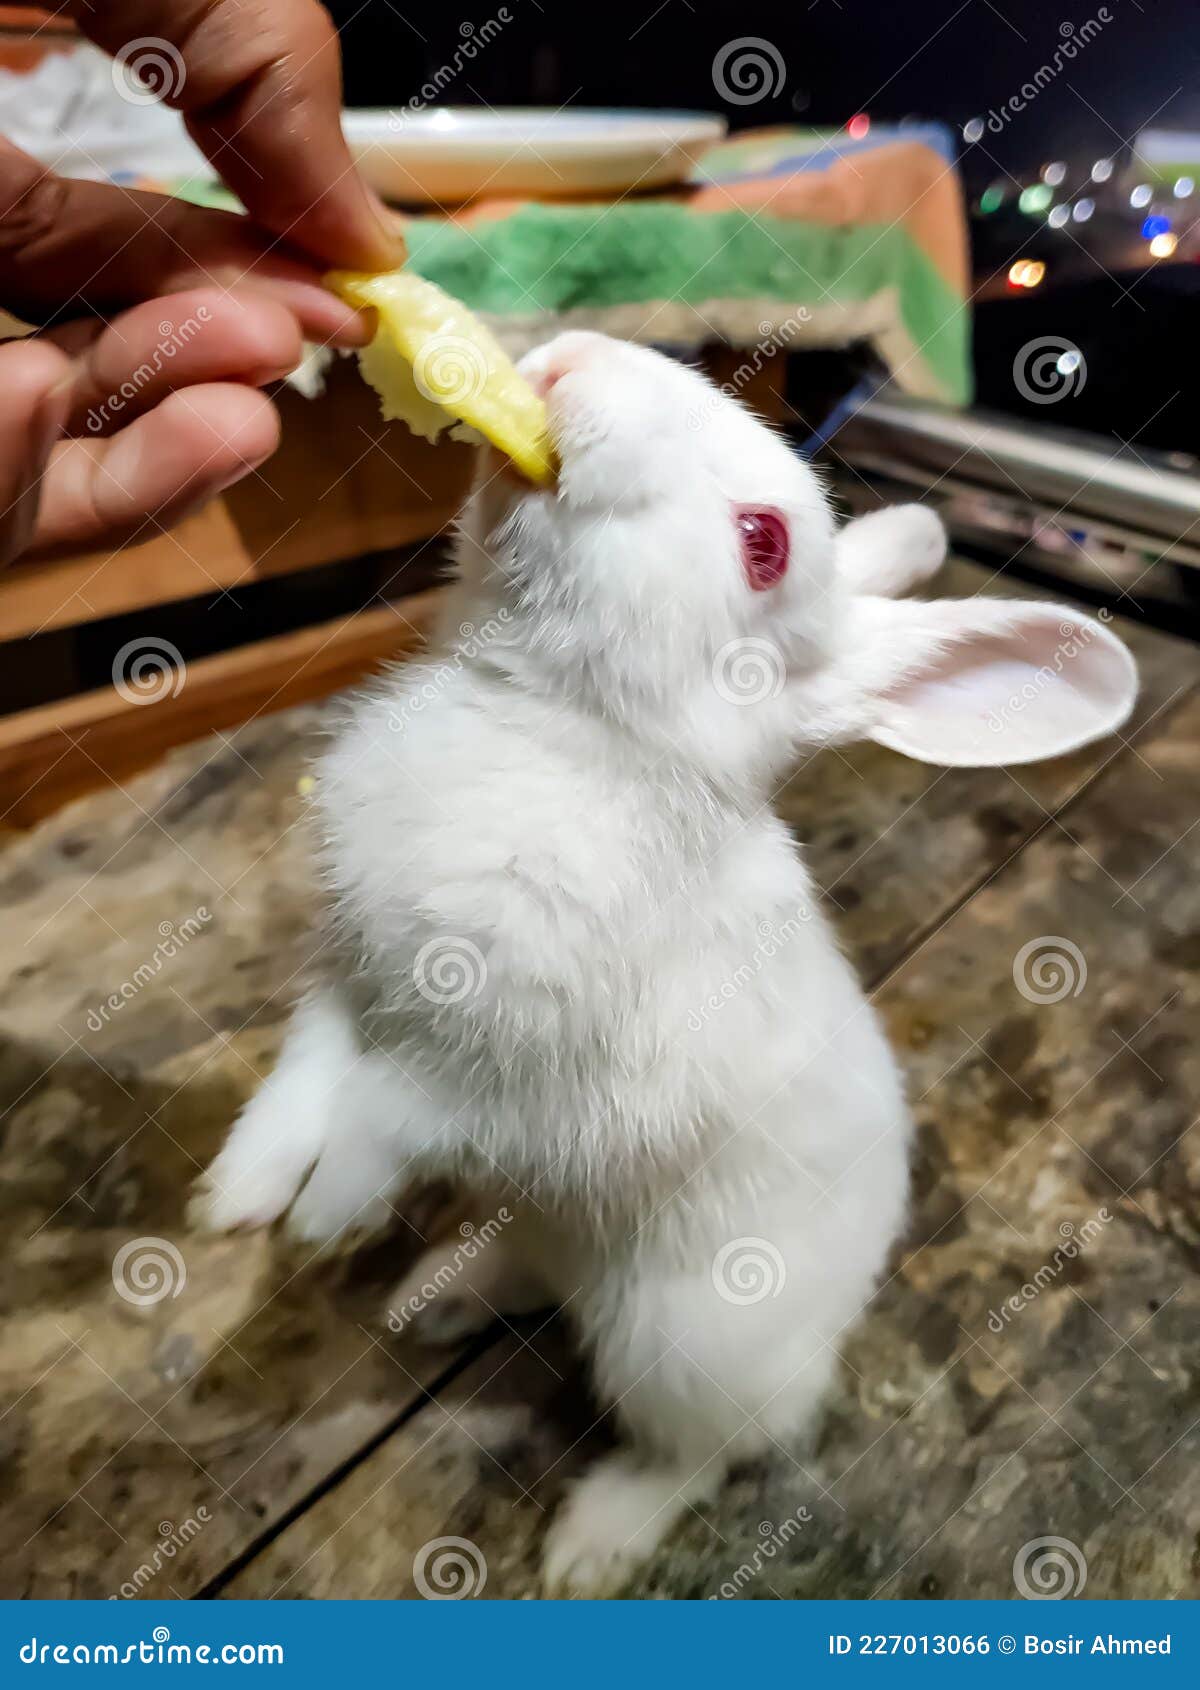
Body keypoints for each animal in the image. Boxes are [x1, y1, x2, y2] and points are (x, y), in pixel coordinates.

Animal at [190, 330, 1137, 1596]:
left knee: (705, 1449)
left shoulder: (523, 1084)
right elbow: (304, 1074)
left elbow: (396, 1113)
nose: (571, 358)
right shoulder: (352, 976)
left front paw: (327, 1216)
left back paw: (592, 1542)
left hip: (686, 1346)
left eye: (763, 542)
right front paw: (237, 1197)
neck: (555, 723)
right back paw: (434, 1302)